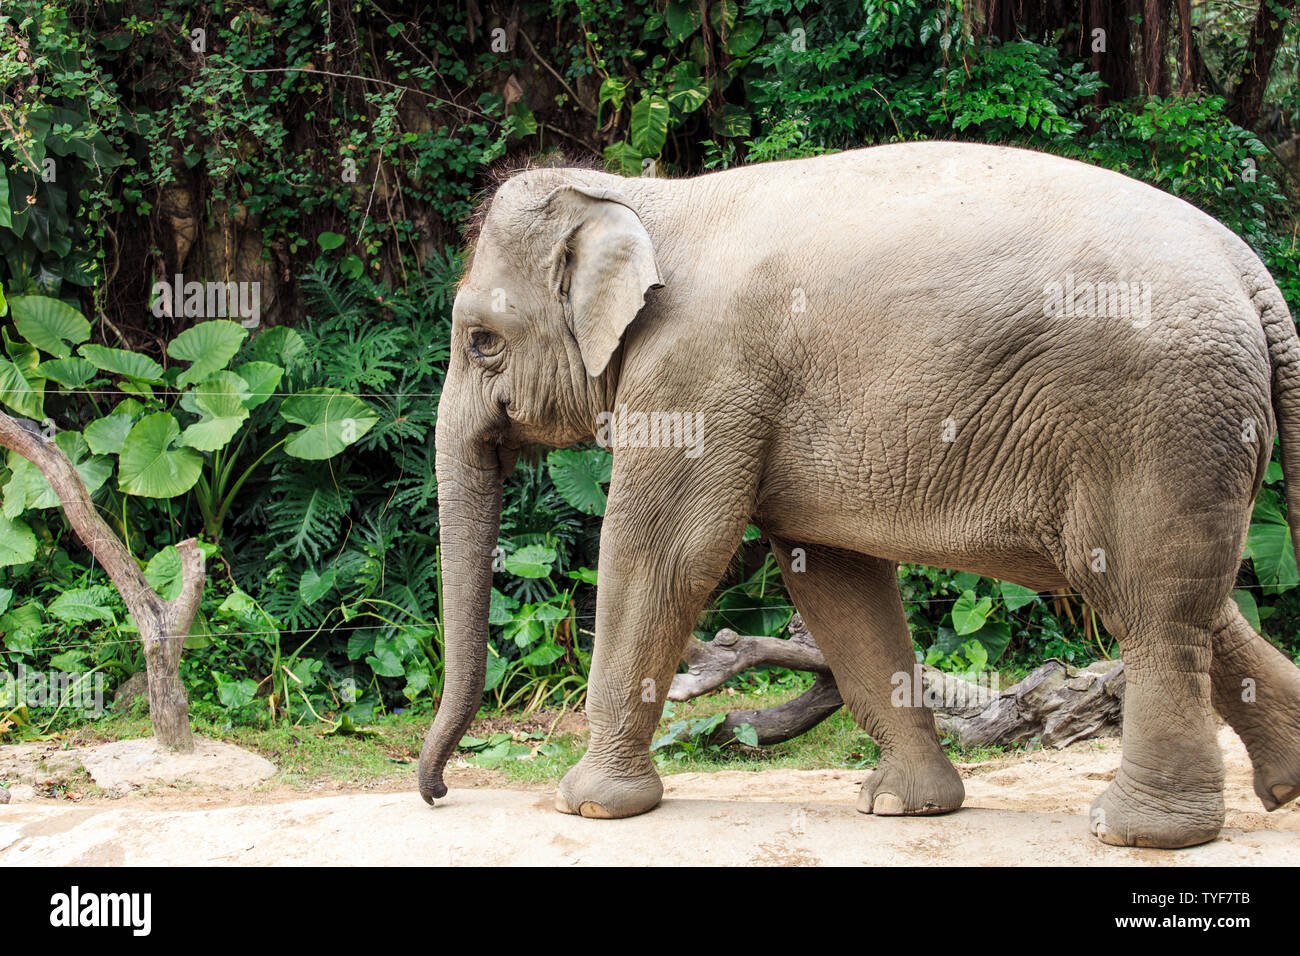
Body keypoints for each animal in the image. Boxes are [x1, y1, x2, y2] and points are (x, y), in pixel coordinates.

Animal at [418, 140, 1300, 849]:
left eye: (482, 342)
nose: (436, 792)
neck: (648, 197)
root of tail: (1251, 271)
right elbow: (832, 578)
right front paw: (903, 807)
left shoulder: (696, 375)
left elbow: (662, 554)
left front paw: (586, 805)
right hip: (1190, 435)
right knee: (1198, 602)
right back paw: (1284, 787)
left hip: (1154, 420)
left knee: (1147, 605)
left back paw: (1137, 832)